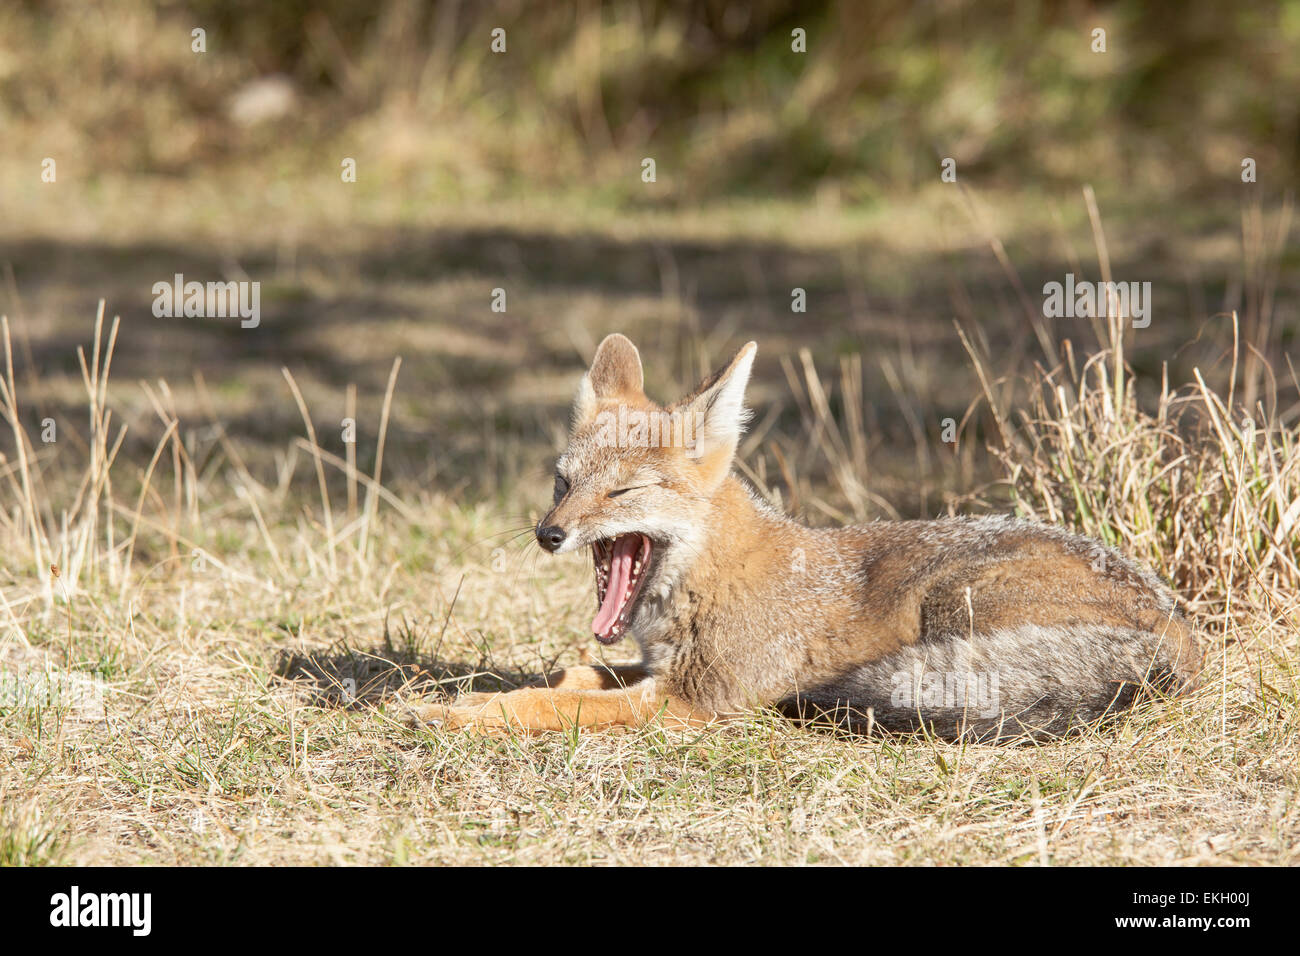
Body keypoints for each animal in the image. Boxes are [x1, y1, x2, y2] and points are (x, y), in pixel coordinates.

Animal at [414, 334, 1201, 740]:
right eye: (562, 483)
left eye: (623, 493)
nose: (549, 534)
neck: (706, 584)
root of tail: (1180, 630)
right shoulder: (658, 672)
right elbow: (572, 675)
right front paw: (466, 698)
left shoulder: (692, 702)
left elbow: (549, 703)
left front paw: (452, 711)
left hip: (949, 603)